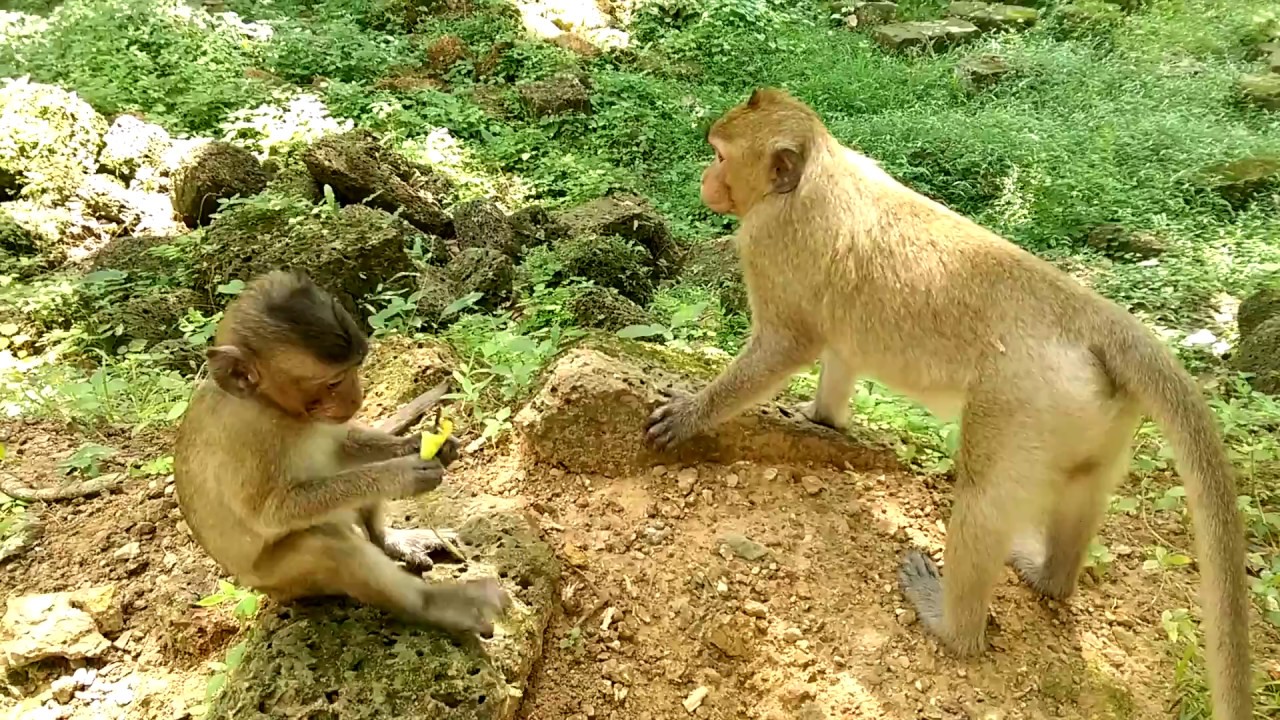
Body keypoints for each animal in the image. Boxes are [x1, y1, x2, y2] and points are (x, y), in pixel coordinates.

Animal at [174, 270, 509, 638]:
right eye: (334, 382)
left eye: (356, 367)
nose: (357, 398)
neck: (274, 408)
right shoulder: (247, 438)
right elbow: (272, 512)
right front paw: (401, 473)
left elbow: (345, 443)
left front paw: (424, 443)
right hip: (286, 581)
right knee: (327, 544)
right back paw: (436, 604)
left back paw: (387, 539)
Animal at [645, 88, 1252, 718]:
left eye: (720, 153)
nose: (706, 177)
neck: (816, 171)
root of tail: (1093, 317)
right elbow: (842, 347)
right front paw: (823, 418)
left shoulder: (767, 242)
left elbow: (788, 344)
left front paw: (690, 413)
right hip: (1094, 415)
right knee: (1083, 487)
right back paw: (1050, 577)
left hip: (1024, 400)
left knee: (983, 498)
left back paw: (952, 625)